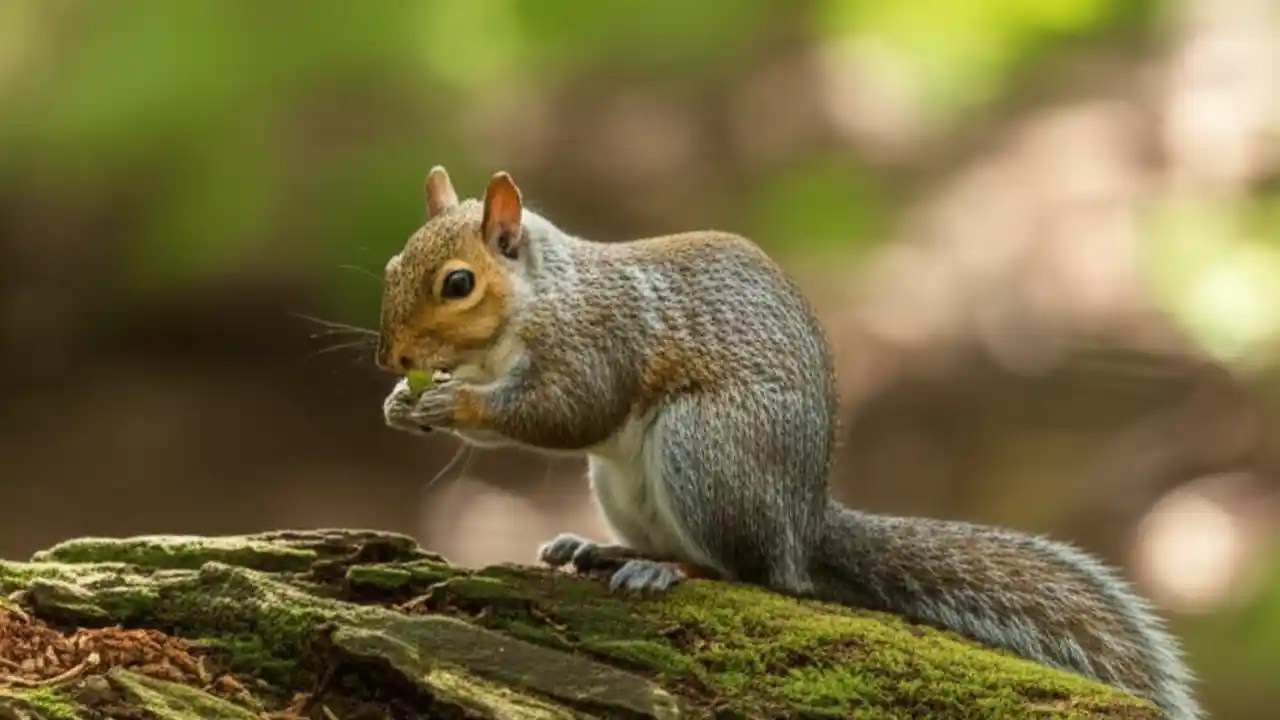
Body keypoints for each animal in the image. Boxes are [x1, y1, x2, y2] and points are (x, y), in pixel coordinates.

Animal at [376, 166, 1202, 720]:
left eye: (458, 283)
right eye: (391, 266)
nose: (392, 357)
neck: (541, 297)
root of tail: (804, 523)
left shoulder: (600, 342)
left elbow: (567, 411)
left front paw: (453, 401)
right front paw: (403, 403)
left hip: (706, 451)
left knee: (751, 575)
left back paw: (667, 569)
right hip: (625, 485)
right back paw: (605, 550)